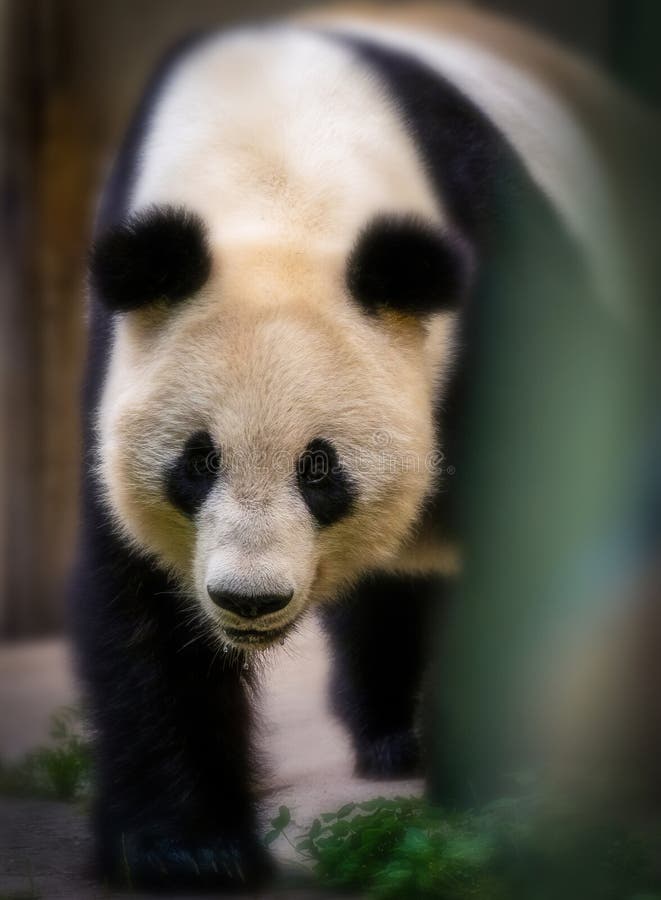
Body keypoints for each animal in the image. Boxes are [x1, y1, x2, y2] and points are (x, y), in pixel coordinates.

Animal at [72, 2, 643, 889]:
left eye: (320, 470)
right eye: (196, 463)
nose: (249, 600)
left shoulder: (495, 274)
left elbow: (532, 529)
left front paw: (497, 808)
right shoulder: (124, 347)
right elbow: (139, 594)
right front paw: (186, 849)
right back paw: (386, 731)